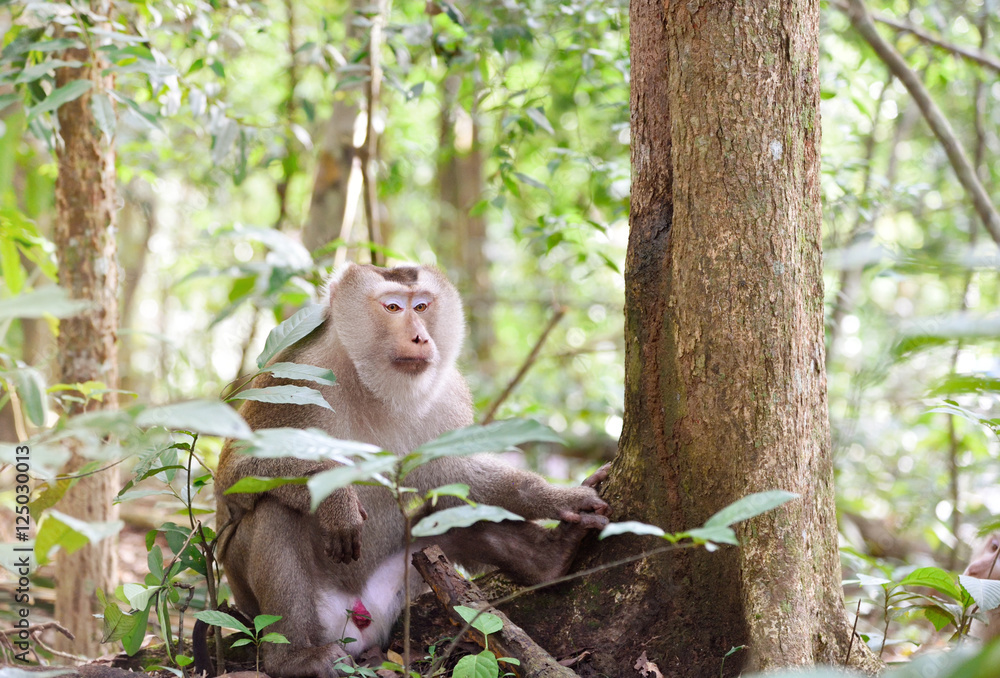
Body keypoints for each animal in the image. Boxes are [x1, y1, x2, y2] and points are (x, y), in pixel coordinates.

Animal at [214, 263, 611, 678]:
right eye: (392, 307)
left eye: (421, 305)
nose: (420, 336)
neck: (368, 383)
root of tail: (360, 620)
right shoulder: (292, 378)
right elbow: (233, 478)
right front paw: (338, 503)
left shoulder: (447, 393)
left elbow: (456, 475)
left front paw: (558, 498)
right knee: (273, 512)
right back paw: (294, 657)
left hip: (400, 583)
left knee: (450, 513)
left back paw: (552, 558)